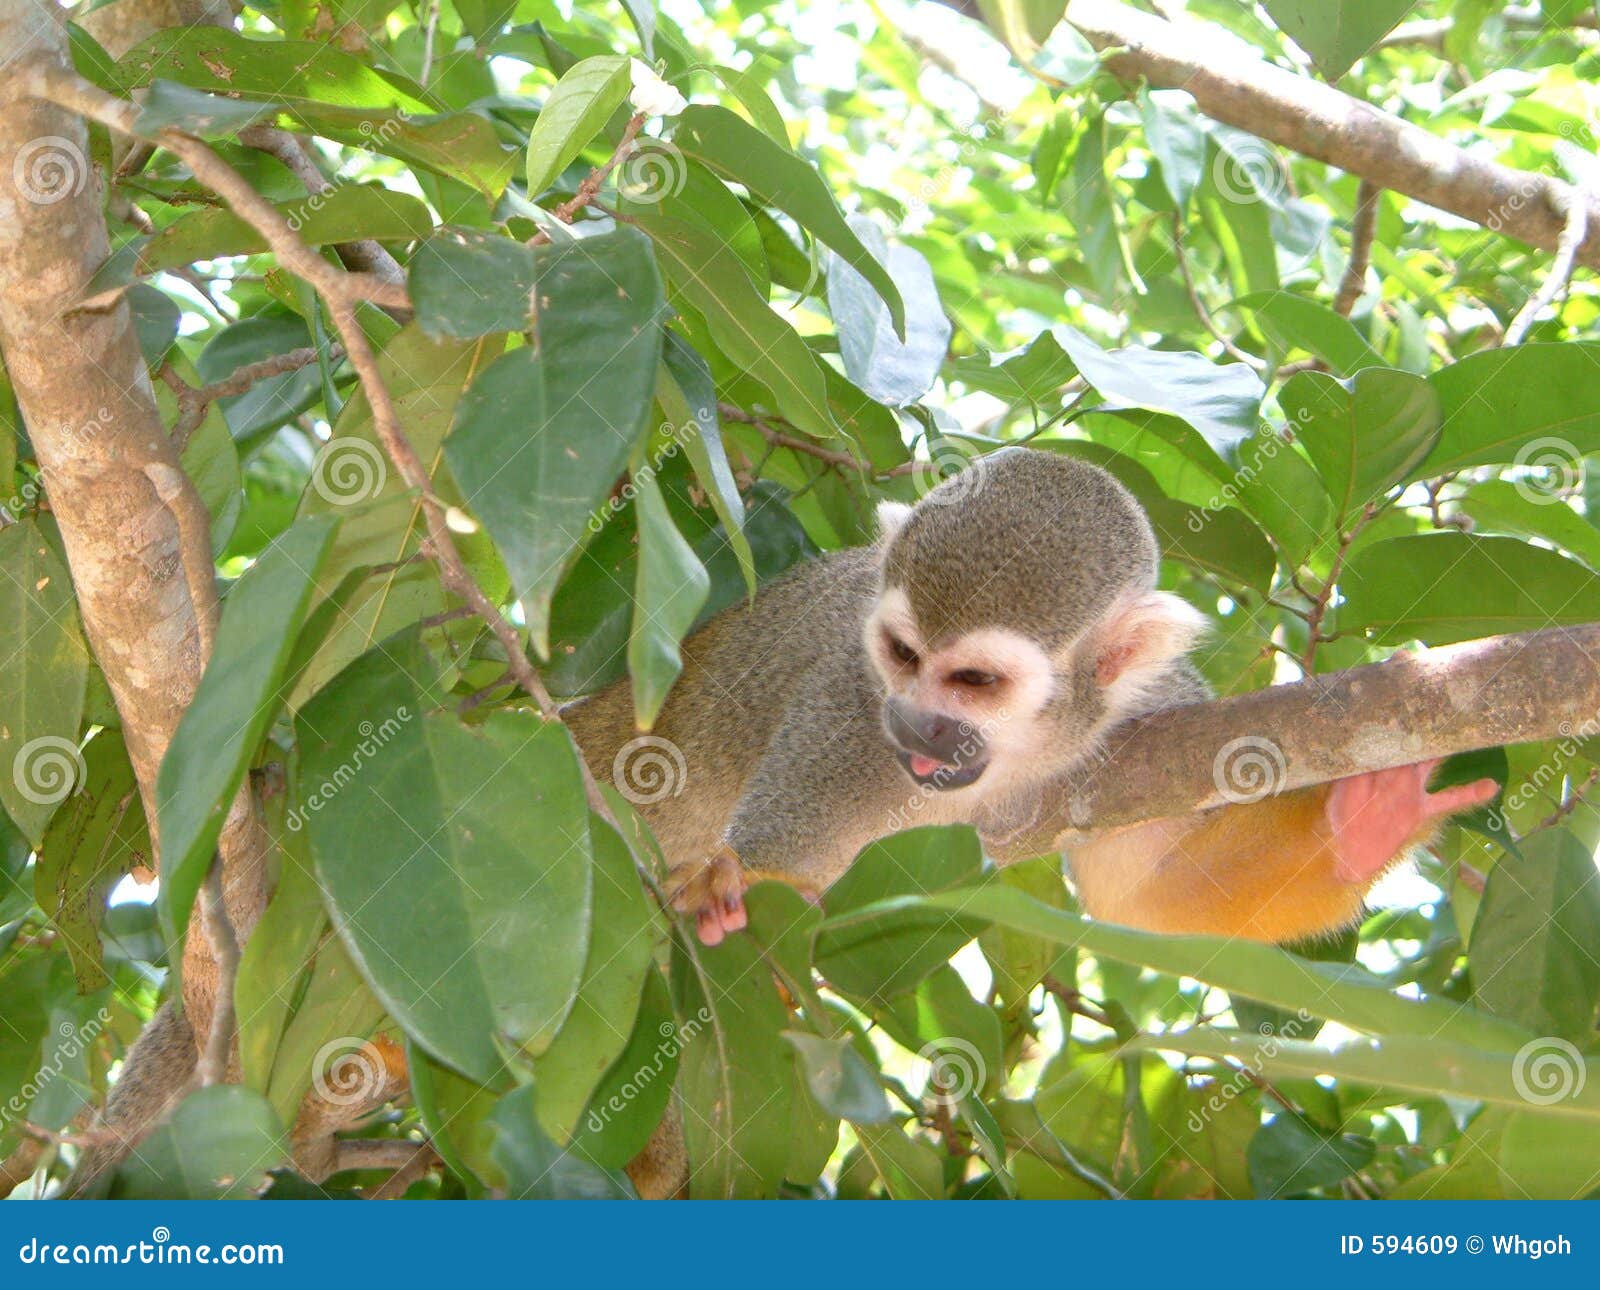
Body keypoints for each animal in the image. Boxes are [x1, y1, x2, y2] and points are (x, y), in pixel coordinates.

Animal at [566, 446, 1499, 947]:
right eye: (902, 655)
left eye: (974, 682)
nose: (912, 724)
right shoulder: (845, 705)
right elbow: (778, 871)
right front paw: (727, 888)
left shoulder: (1142, 724)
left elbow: (1146, 894)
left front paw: (1369, 815)